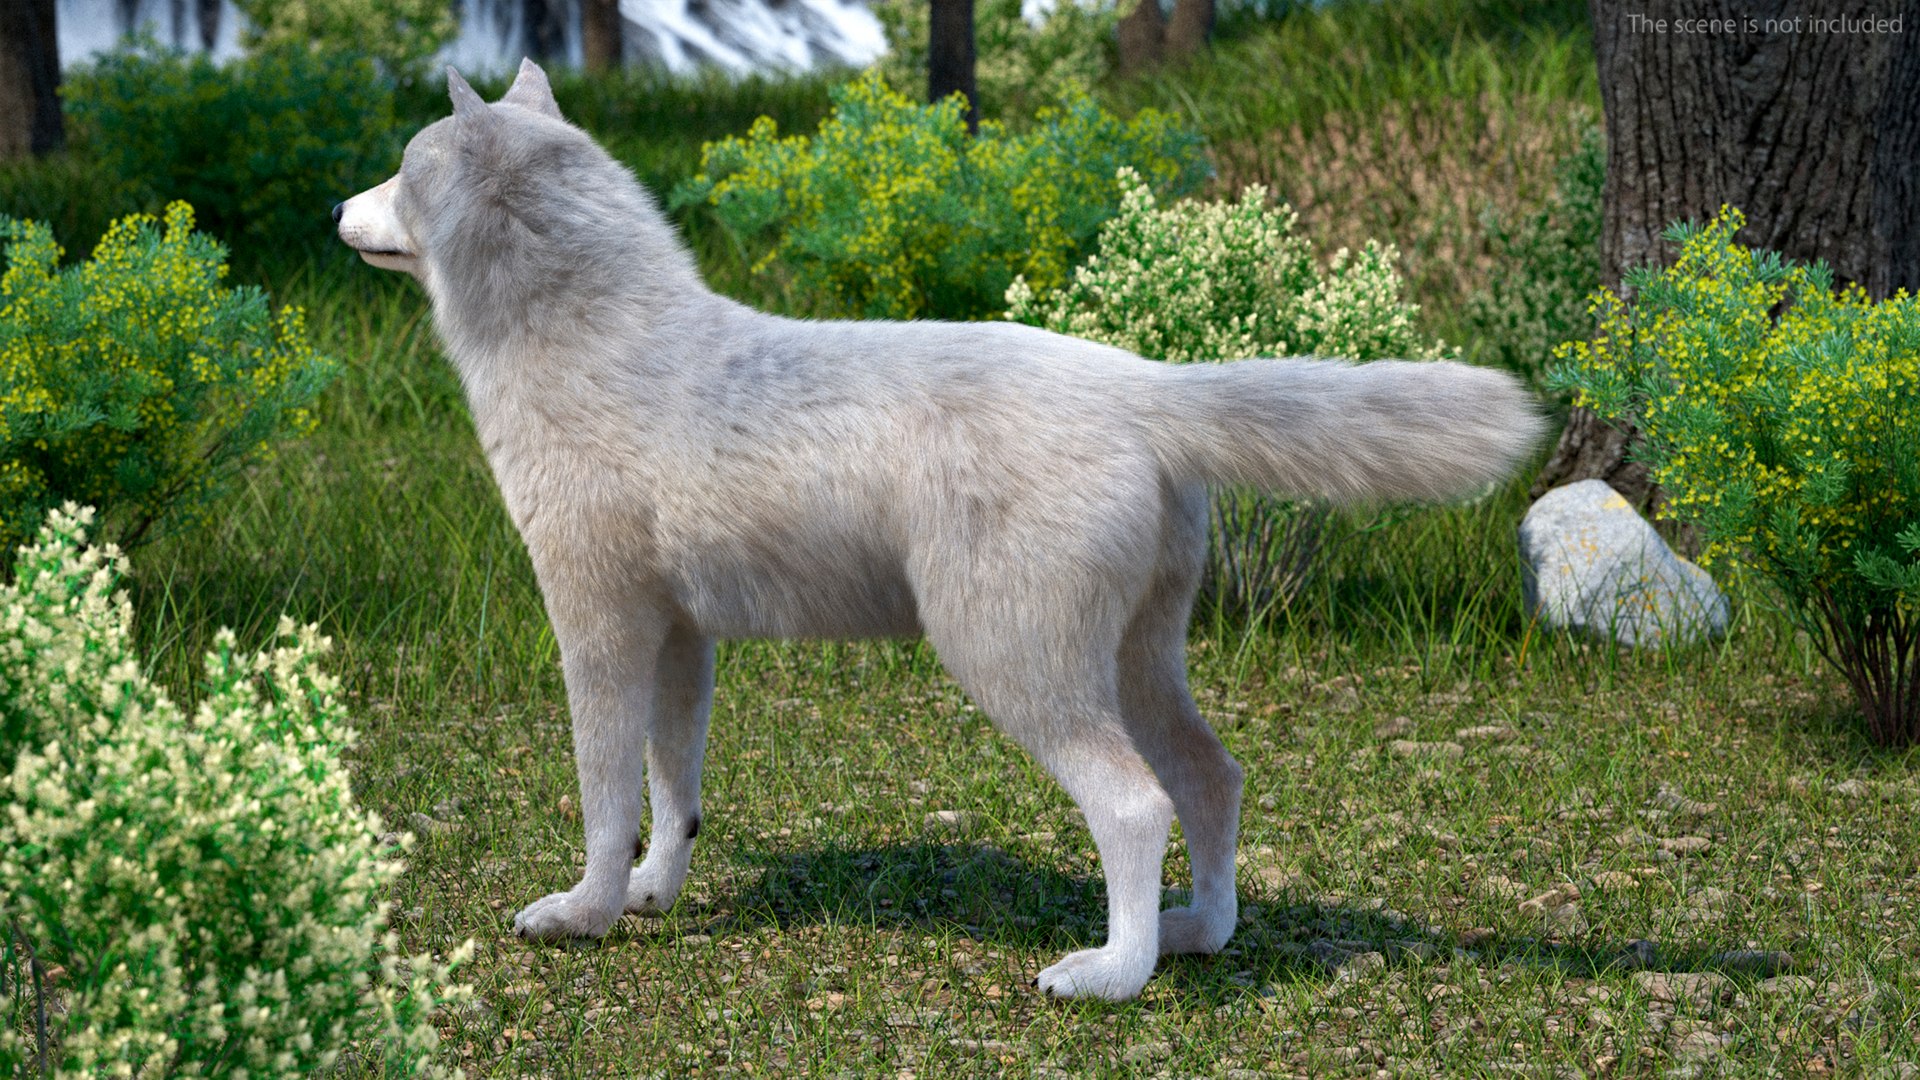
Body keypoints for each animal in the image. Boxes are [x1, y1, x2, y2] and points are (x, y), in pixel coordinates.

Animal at [334, 59, 1542, 1001]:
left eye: (400, 167)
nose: (338, 214)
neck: (588, 338)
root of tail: (1142, 386)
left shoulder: (598, 630)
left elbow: (603, 799)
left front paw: (581, 914)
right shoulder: (684, 640)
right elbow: (674, 798)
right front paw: (650, 900)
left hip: (1014, 661)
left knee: (1135, 804)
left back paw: (1112, 975)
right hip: (1136, 659)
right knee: (1212, 779)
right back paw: (1195, 936)